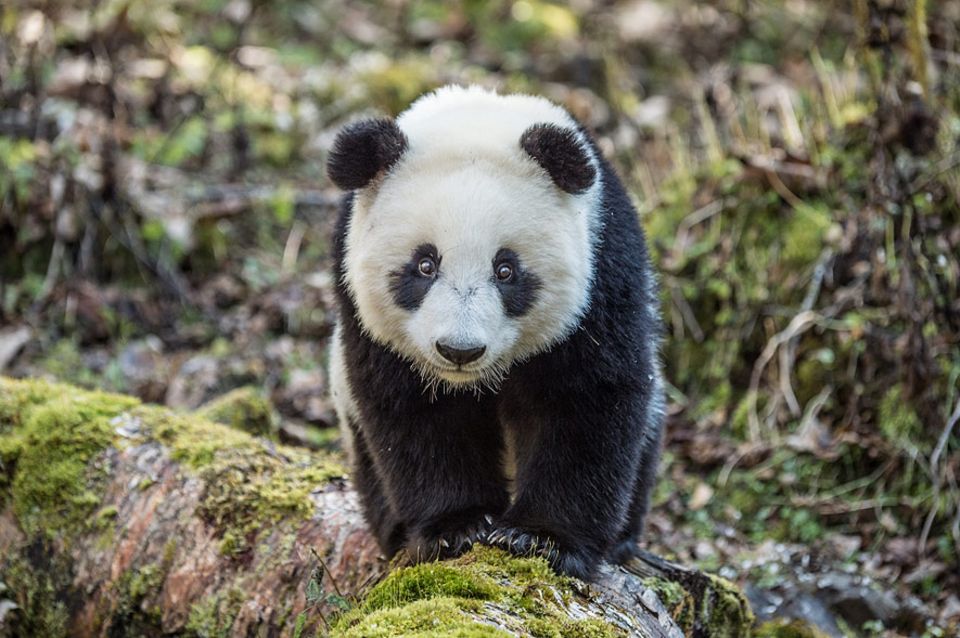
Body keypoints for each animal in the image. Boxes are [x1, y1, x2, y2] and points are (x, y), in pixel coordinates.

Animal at [326, 85, 664, 581]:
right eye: (425, 265)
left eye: (506, 270)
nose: (459, 350)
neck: (476, 120)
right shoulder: (359, 301)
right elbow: (415, 413)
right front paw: (456, 528)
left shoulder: (603, 269)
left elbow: (587, 400)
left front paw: (542, 538)